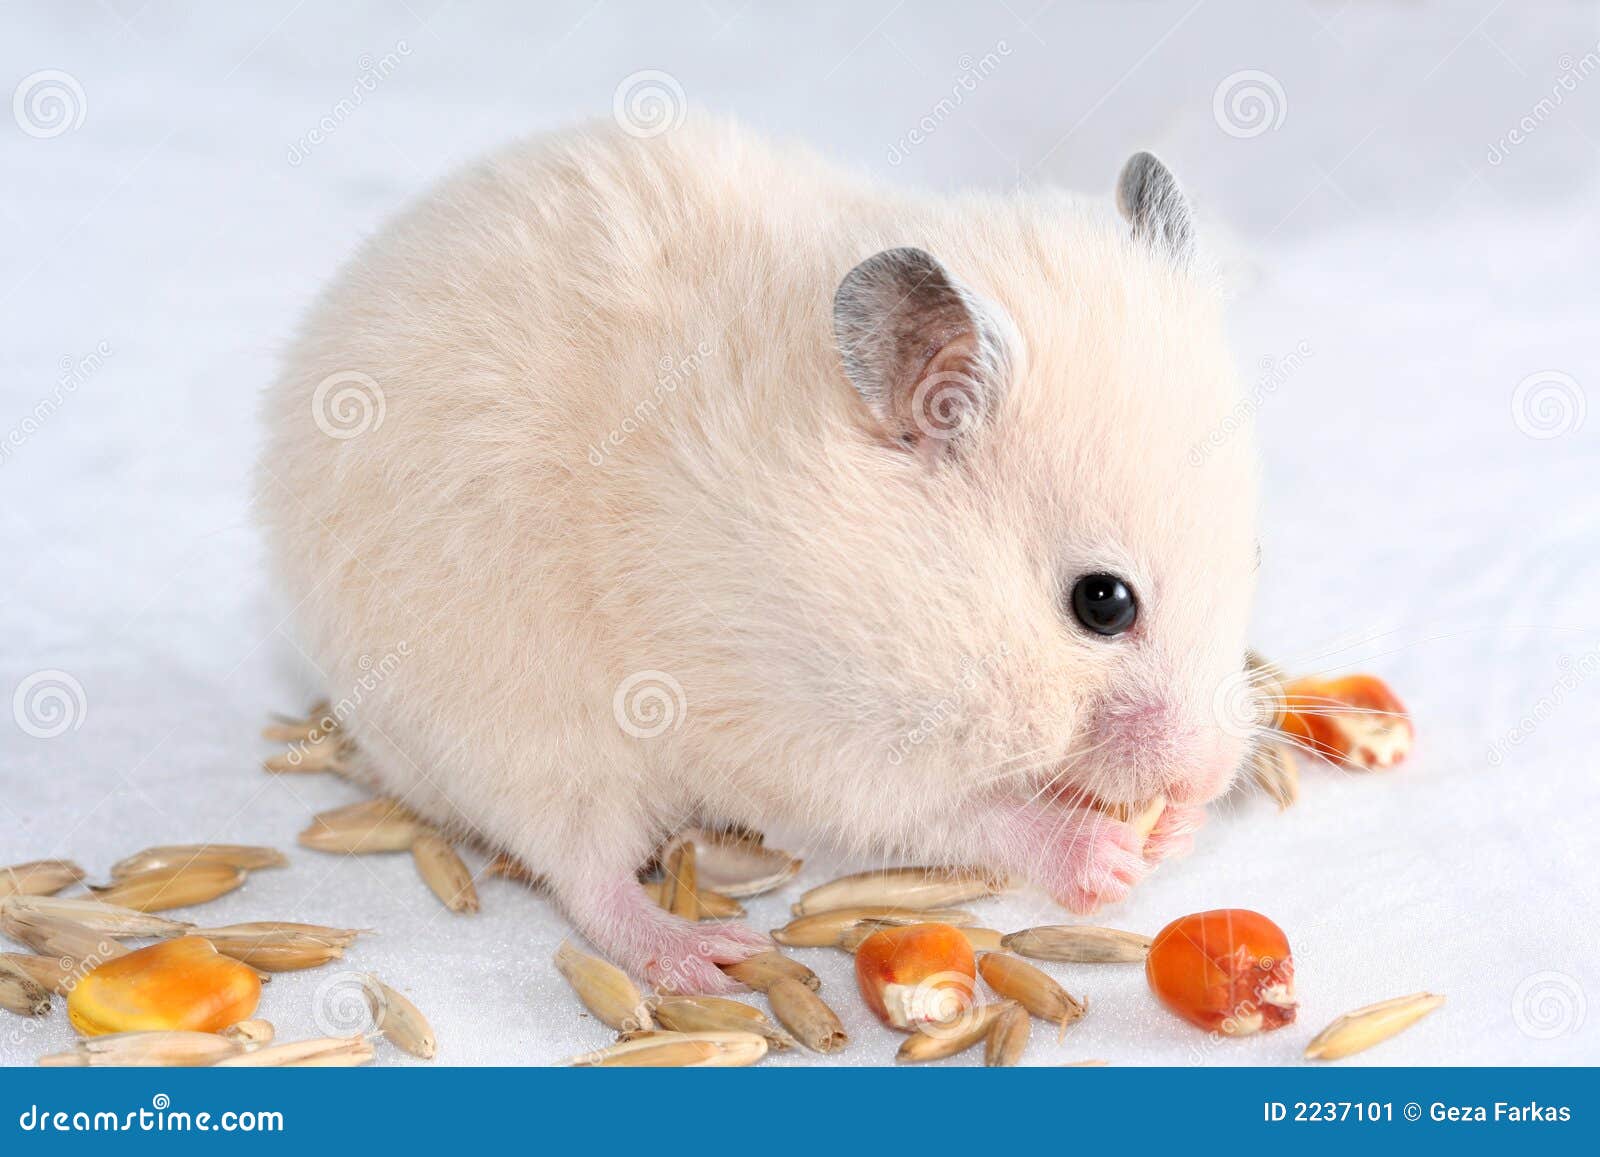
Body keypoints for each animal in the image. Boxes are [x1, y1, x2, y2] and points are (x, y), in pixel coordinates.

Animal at [258, 118, 1260, 993]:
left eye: (1246, 550)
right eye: (1102, 602)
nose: (1212, 774)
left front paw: (1176, 832)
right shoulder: (802, 735)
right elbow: (958, 812)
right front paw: (1109, 858)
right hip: (519, 733)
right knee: (583, 873)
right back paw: (706, 956)